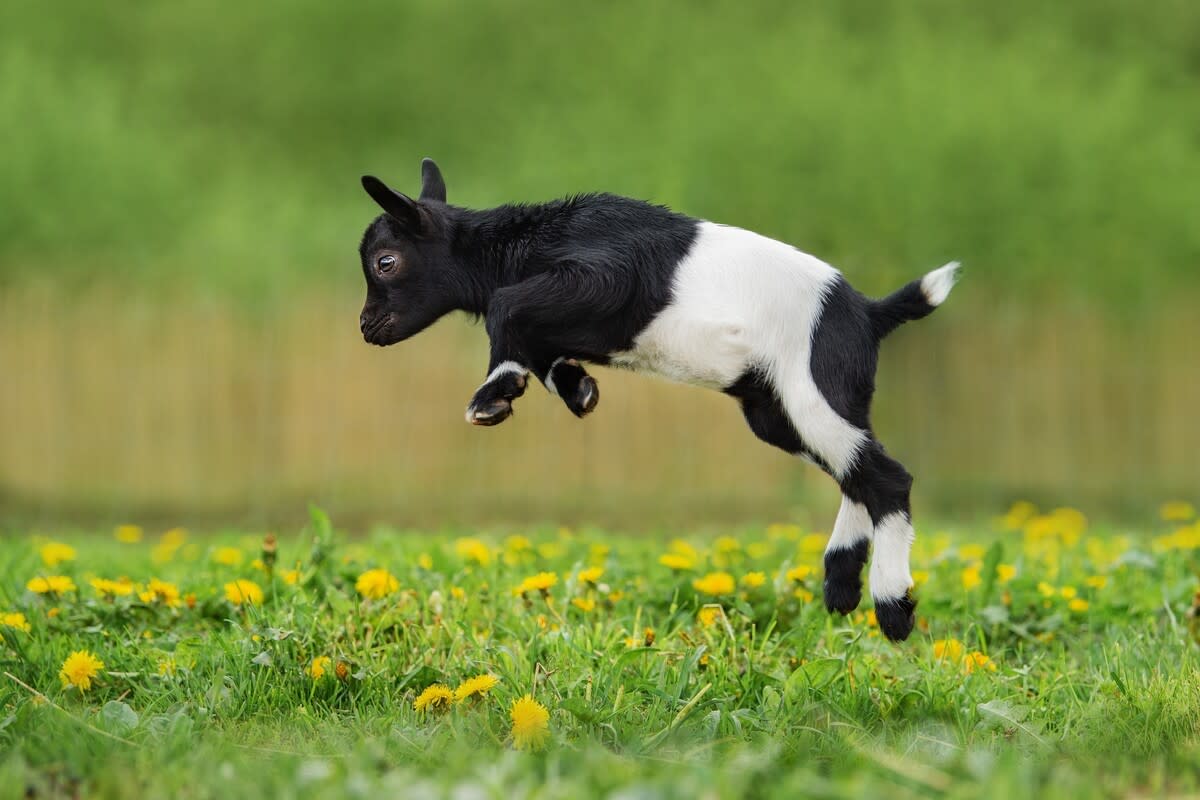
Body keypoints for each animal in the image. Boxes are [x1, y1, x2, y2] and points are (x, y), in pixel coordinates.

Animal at [357, 158, 961, 641]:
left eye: (386, 261)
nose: (366, 327)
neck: (525, 246)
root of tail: (870, 313)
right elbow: (537, 343)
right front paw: (575, 388)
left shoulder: (603, 277)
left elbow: (507, 306)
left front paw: (494, 395)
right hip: (780, 409)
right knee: (856, 472)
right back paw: (840, 585)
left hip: (812, 392)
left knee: (886, 477)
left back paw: (892, 606)